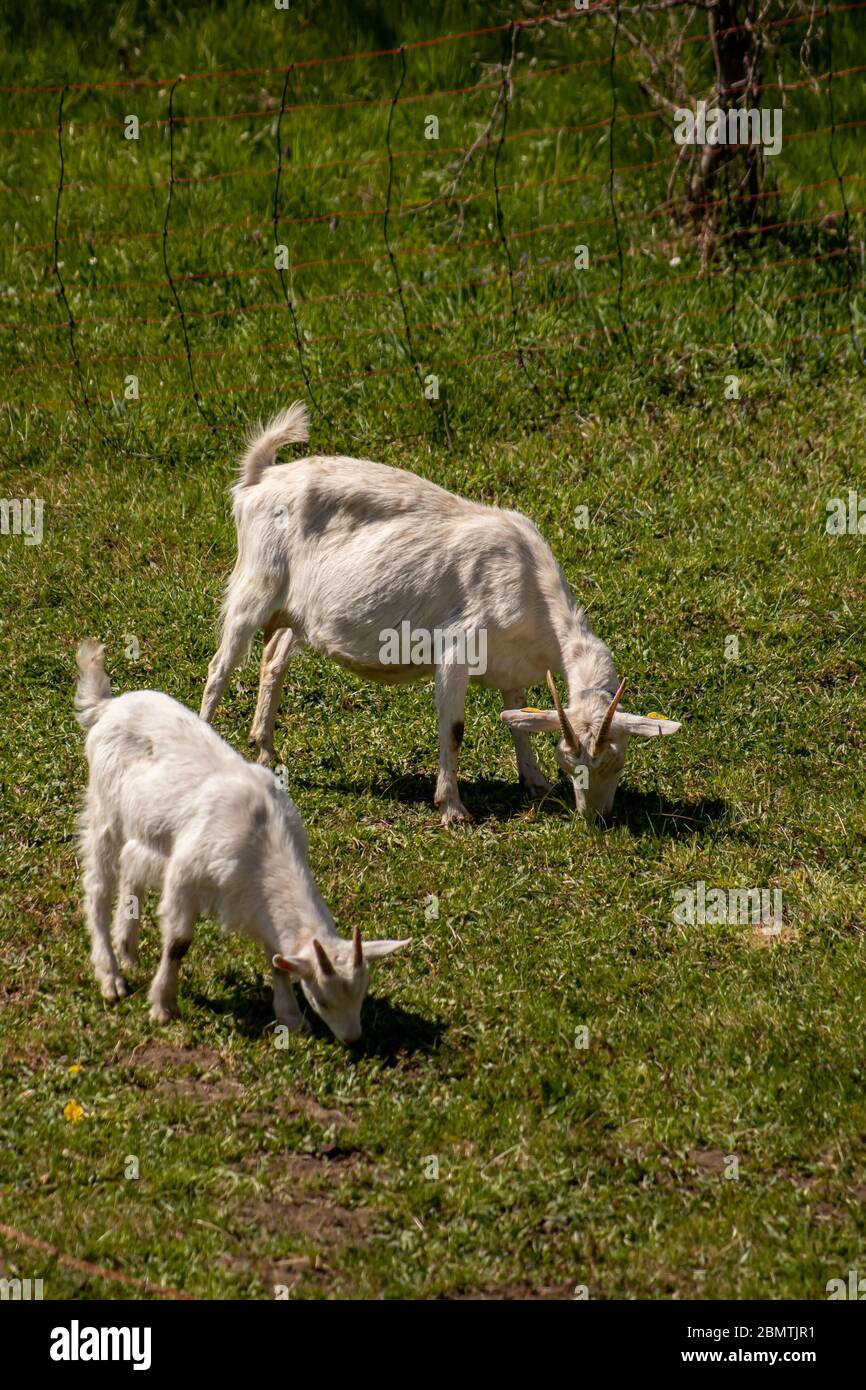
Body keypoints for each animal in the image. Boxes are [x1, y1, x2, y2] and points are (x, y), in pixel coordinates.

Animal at [75, 641, 407, 1042]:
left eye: (362, 993)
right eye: (323, 1000)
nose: (353, 1039)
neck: (261, 839)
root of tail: (108, 706)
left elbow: (277, 958)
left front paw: (290, 1017)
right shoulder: (186, 876)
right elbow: (178, 944)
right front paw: (163, 1006)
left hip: (148, 829)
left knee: (131, 867)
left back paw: (127, 949)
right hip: (105, 808)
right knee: (97, 886)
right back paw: (110, 976)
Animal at [200, 404, 682, 825]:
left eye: (617, 762)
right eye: (570, 761)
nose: (596, 817)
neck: (532, 588)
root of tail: (261, 476)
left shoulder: (512, 668)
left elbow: (518, 724)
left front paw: (535, 783)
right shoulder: (457, 648)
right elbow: (455, 728)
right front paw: (452, 808)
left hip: (294, 611)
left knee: (273, 658)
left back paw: (264, 748)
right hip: (254, 586)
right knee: (220, 666)